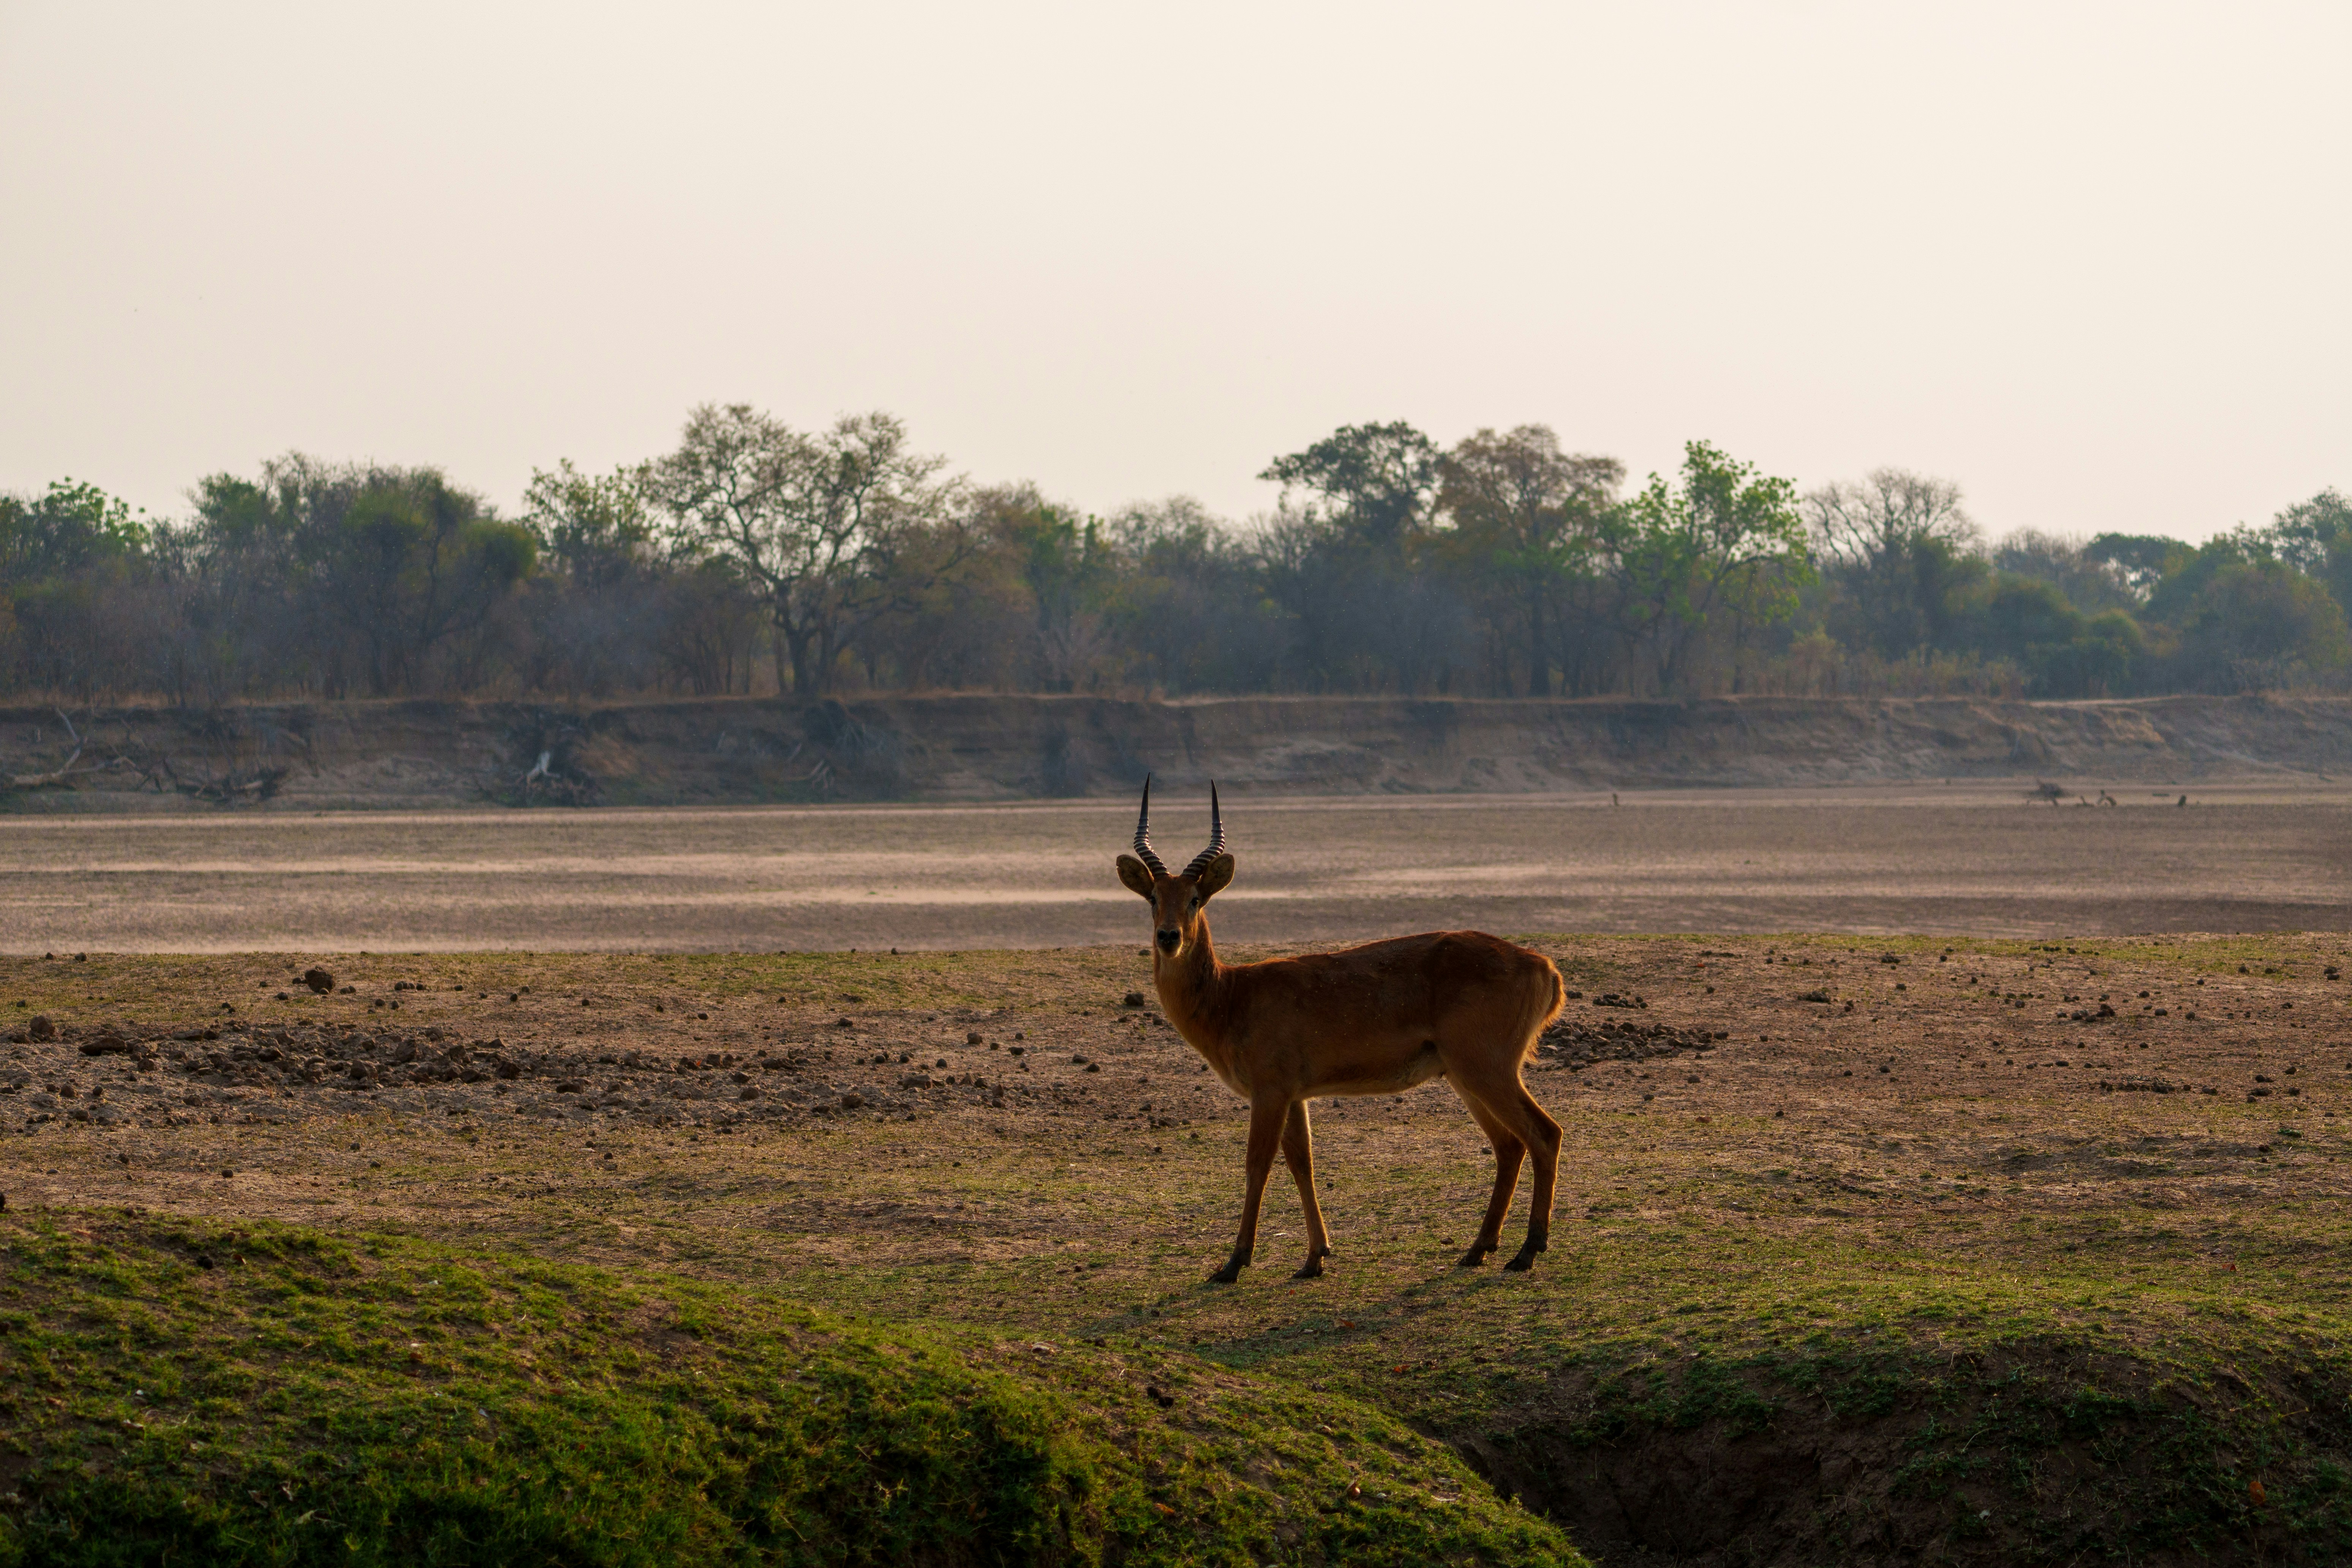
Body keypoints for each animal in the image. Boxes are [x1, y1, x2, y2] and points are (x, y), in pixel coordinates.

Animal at [1116, 779, 1567, 1282]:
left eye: (1196, 898)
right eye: (1154, 898)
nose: (1169, 938)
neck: (1233, 995)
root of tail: (1542, 964)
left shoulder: (1270, 1092)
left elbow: (1257, 1165)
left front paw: (1234, 1263)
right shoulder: (1295, 1096)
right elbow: (1302, 1164)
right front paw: (1316, 1256)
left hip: (1488, 1071)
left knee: (1545, 1134)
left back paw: (1527, 1251)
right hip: (1464, 1077)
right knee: (1509, 1145)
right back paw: (1478, 1249)